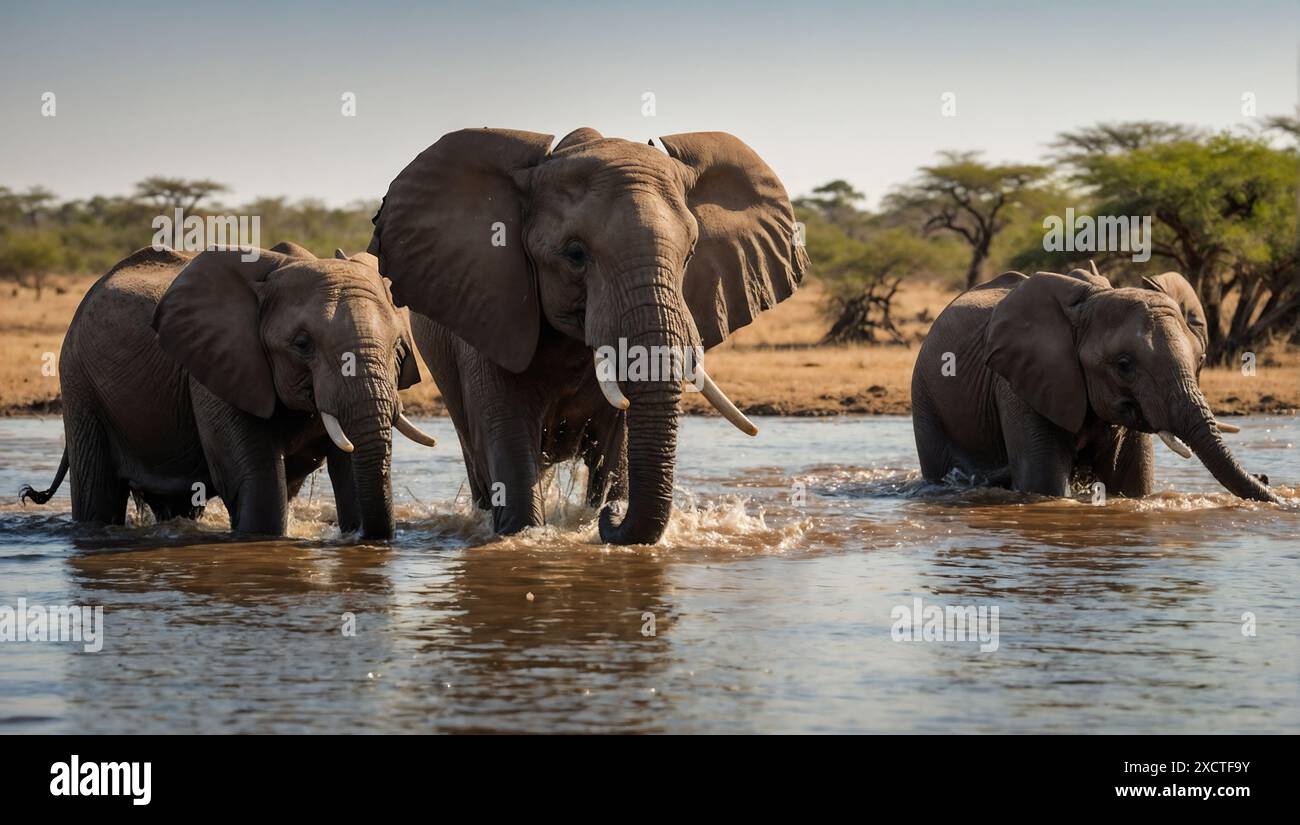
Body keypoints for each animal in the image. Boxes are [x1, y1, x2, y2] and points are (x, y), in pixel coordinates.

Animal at [19, 242, 439, 538]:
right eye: (302, 344)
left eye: (400, 349)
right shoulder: (215, 366)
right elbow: (256, 481)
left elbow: (349, 471)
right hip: (78, 379)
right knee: (98, 491)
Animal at [368, 127, 807, 544]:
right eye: (575, 254)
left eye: (691, 252)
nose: (611, 517)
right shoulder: (489, 307)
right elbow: (508, 438)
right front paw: (531, 534)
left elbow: (618, 444)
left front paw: (605, 509)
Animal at [911, 267, 1278, 502]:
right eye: (1124, 365)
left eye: (1200, 360)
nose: (1265, 476)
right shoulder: (1020, 386)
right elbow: (1045, 486)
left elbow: (1134, 488)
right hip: (925, 396)